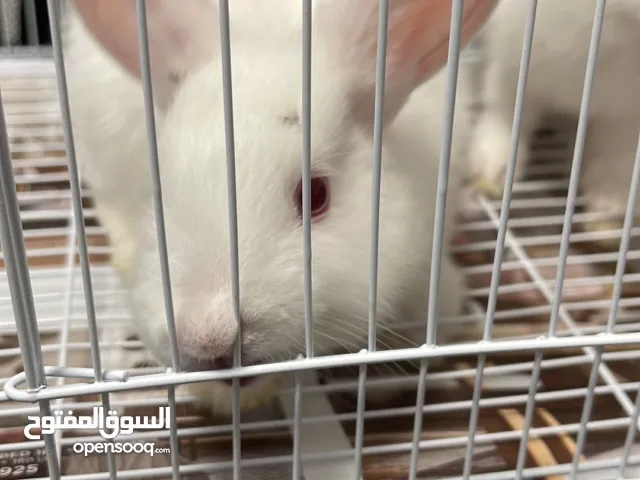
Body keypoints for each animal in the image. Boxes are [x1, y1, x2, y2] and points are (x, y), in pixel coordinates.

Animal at [468, 0, 640, 243]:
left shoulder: (626, 117)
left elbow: (616, 157)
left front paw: (608, 205)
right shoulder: (512, 67)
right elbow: (507, 115)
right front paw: (492, 172)